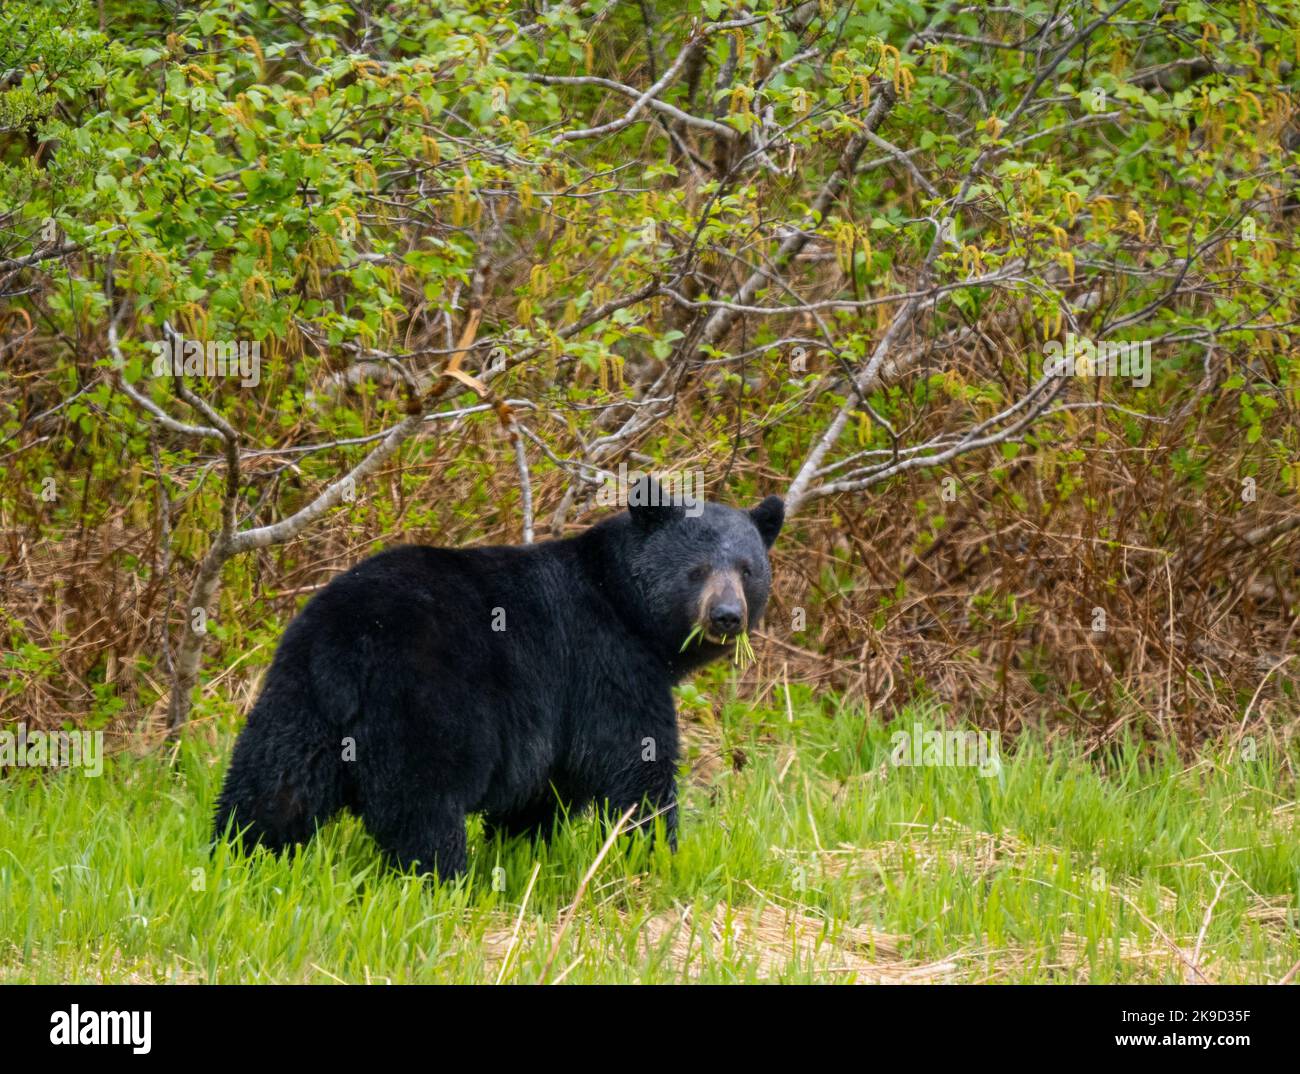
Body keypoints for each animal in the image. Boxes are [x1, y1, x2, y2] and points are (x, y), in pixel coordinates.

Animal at [212, 477, 783, 880]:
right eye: (698, 570)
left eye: (748, 569)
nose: (727, 615)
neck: (622, 599)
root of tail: (348, 646)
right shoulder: (605, 664)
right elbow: (632, 765)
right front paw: (654, 856)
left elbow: (541, 793)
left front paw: (522, 847)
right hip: (424, 705)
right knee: (422, 807)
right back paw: (440, 882)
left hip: (297, 693)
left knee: (271, 787)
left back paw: (240, 857)